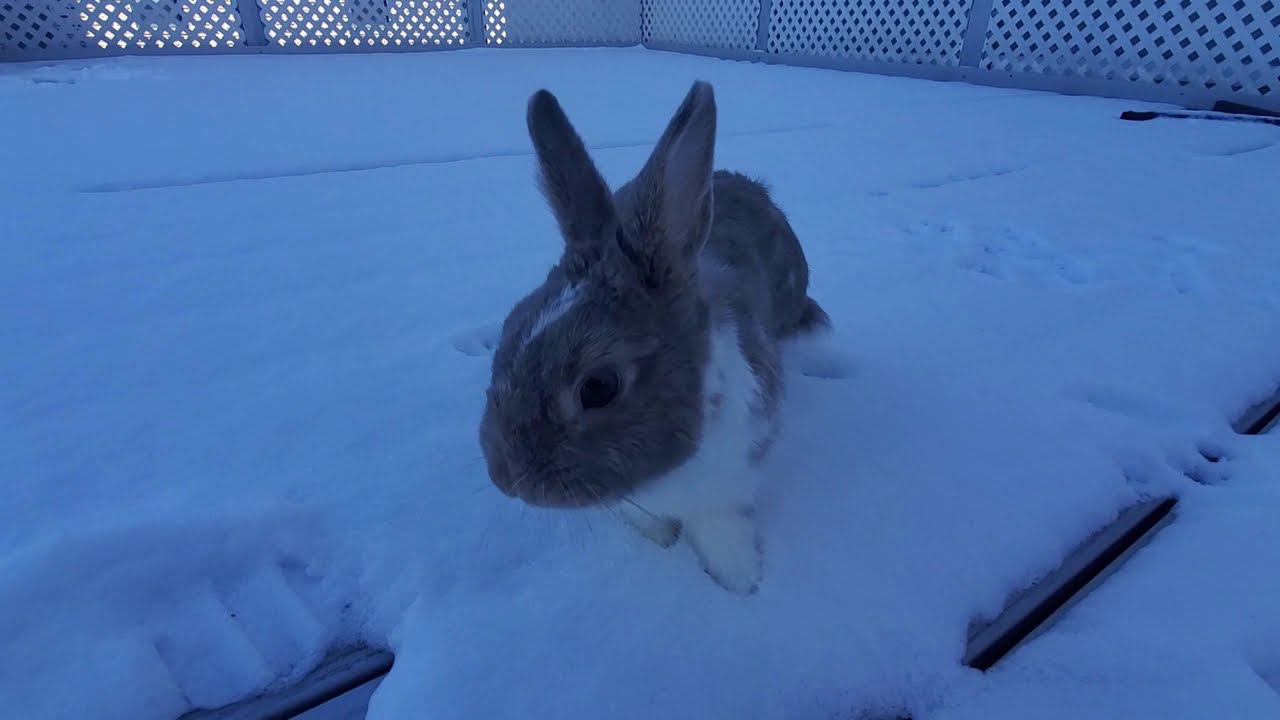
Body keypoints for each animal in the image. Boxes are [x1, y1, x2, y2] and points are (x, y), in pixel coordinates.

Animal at [478, 80, 830, 595]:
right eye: (509, 331)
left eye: (598, 387)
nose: (506, 478)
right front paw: (661, 542)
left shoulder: (736, 475)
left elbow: (721, 529)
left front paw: (740, 580)